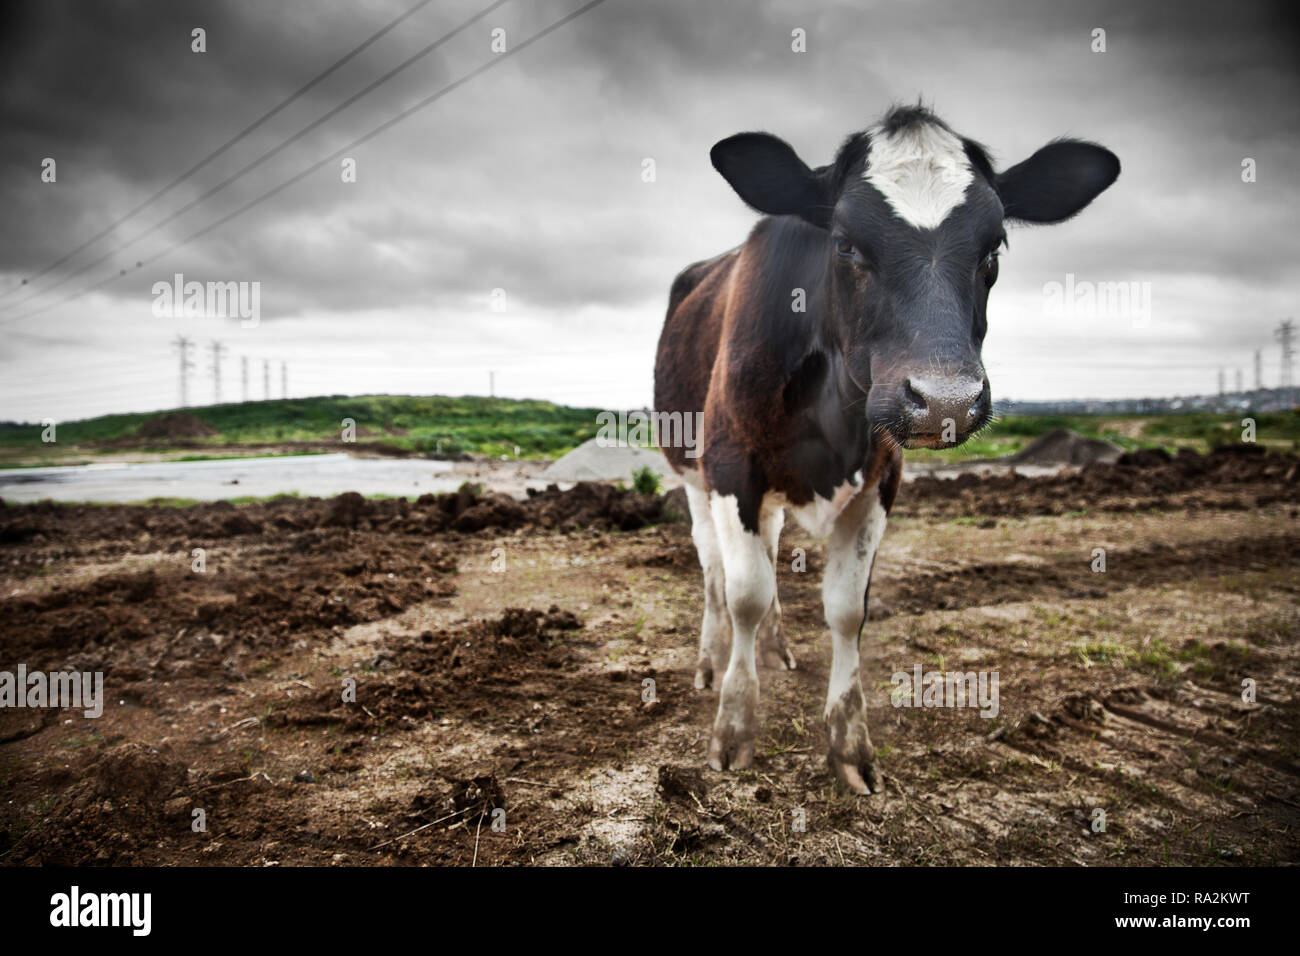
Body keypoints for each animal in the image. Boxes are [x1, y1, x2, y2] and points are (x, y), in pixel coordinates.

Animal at [653, 105, 1118, 794]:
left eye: (995, 246)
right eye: (845, 242)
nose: (947, 400)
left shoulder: (880, 477)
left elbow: (848, 610)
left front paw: (850, 747)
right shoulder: (732, 470)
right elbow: (745, 594)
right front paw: (733, 730)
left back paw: (778, 650)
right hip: (692, 474)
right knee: (715, 569)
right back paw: (713, 661)